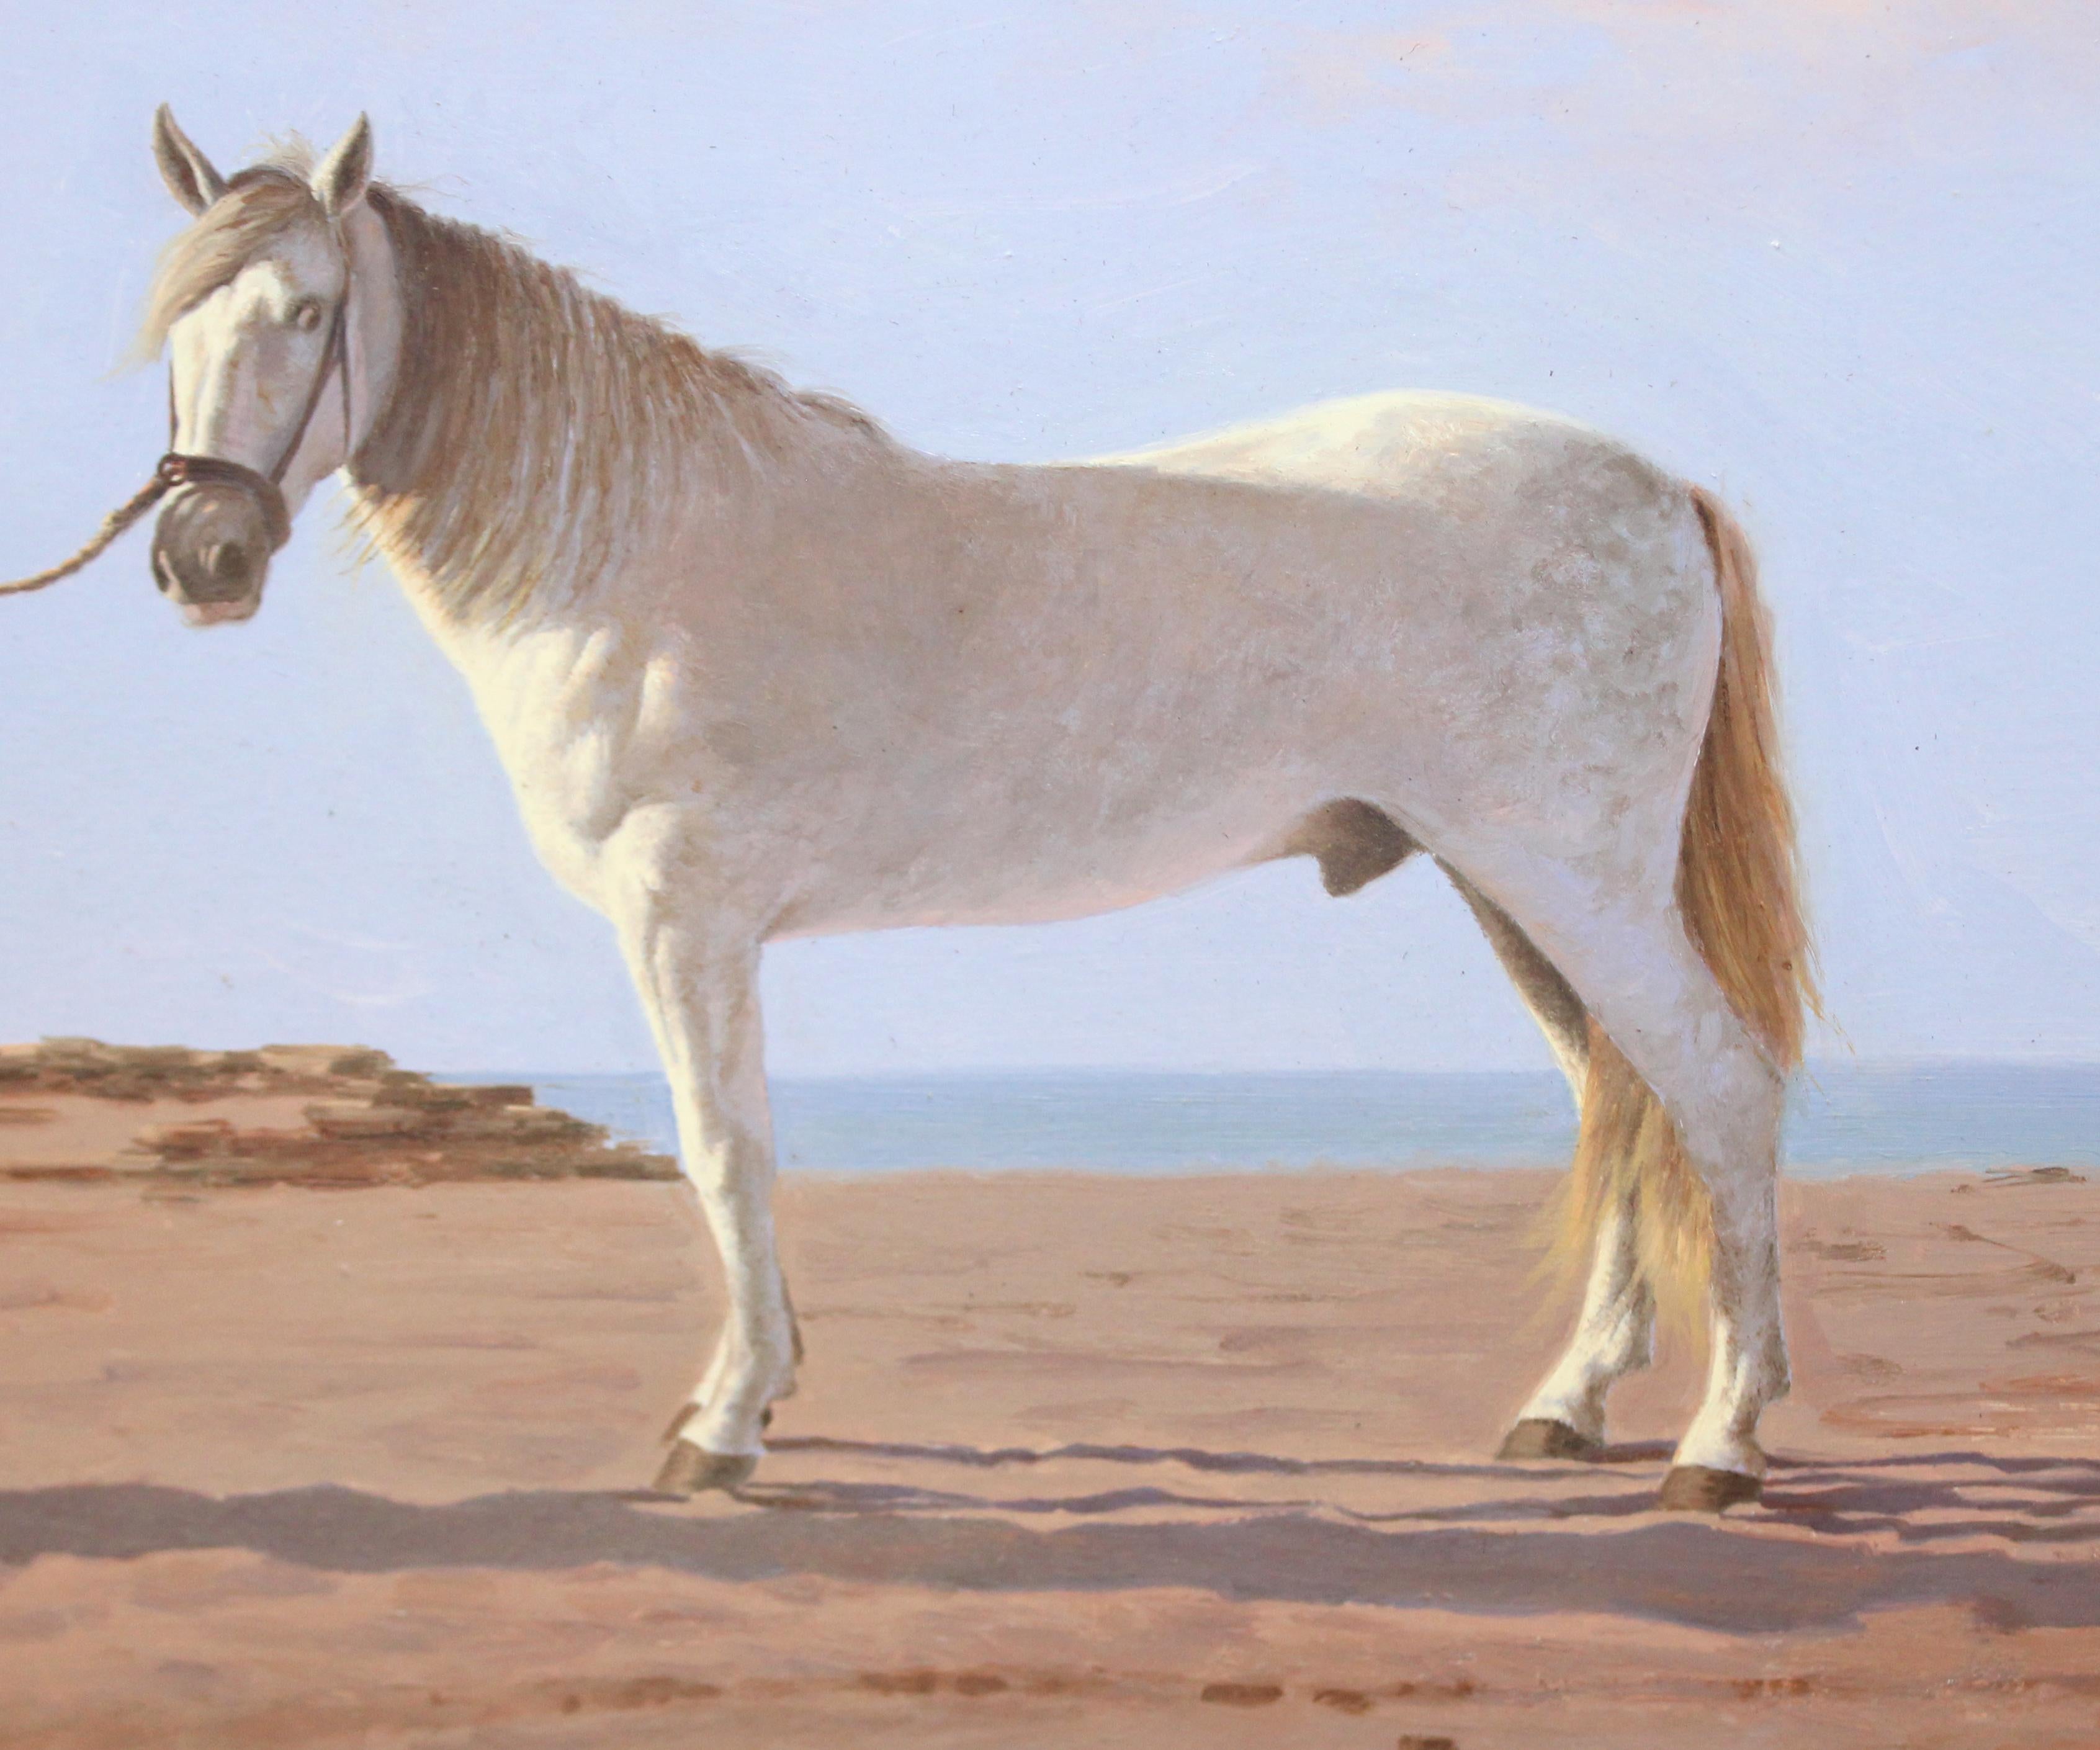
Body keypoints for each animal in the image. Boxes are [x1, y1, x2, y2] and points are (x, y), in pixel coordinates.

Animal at [129, 108, 1814, 1511]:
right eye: (172, 321)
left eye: (309, 312)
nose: (202, 555)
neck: (638, 551)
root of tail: (1657, 484)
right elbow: (736, 1153)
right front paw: (757, 1391)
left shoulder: (687, 919)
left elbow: (722, 1151)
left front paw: (723, 1425)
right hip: (1508, 886)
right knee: (1619, 1096)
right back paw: (1567, 1408)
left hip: (1574, 877)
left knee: (1717, 1088)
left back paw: (1720, 1446)